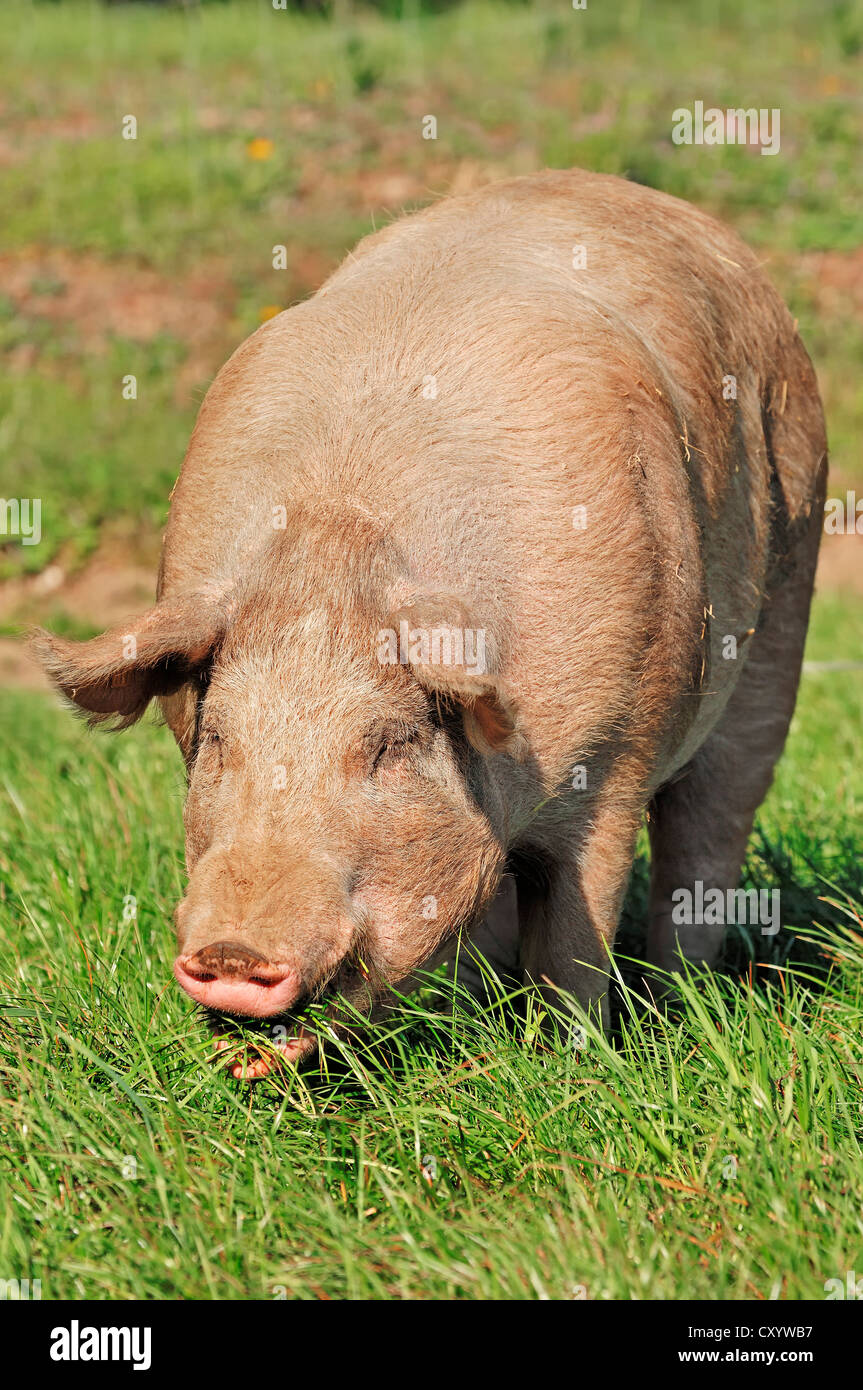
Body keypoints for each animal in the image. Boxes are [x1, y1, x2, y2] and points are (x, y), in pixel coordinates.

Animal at [35, 168, 826, 1079]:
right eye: (219, 742)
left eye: (388, 745)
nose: (234, 955)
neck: (337, 538)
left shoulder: (617, 750)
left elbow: (575, 933)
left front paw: (570, 1061)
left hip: (785, 597)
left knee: (708, 831)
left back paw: (673, 1005)